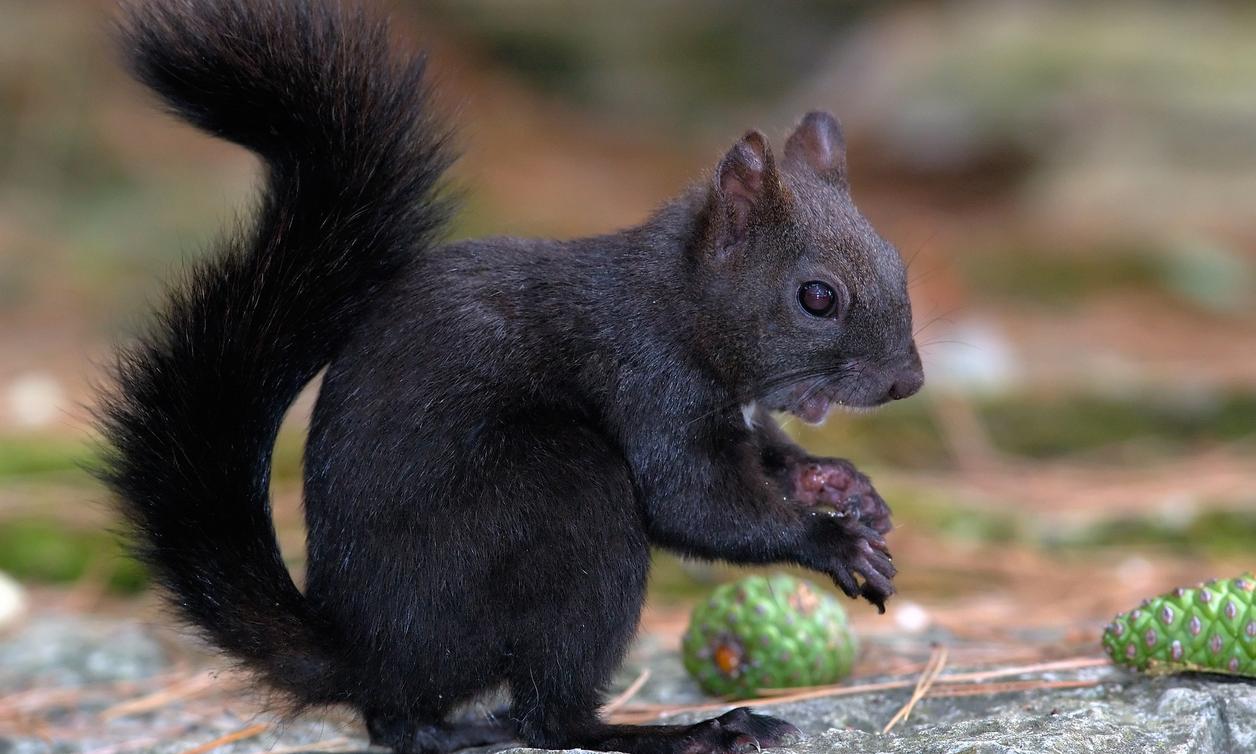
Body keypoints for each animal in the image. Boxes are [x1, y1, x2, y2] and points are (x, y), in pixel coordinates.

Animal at [97, 1, 924, 753]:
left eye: (898, 261)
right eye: (817, 297)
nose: (907, 382)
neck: (683, 309)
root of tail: (364, 650)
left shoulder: (746, 419)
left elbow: (775, 460)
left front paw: (846, 486)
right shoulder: (648, 382)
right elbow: (694, 505)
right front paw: (833, 541)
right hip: (565, 502)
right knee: (531, 719)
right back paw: (681, 731)